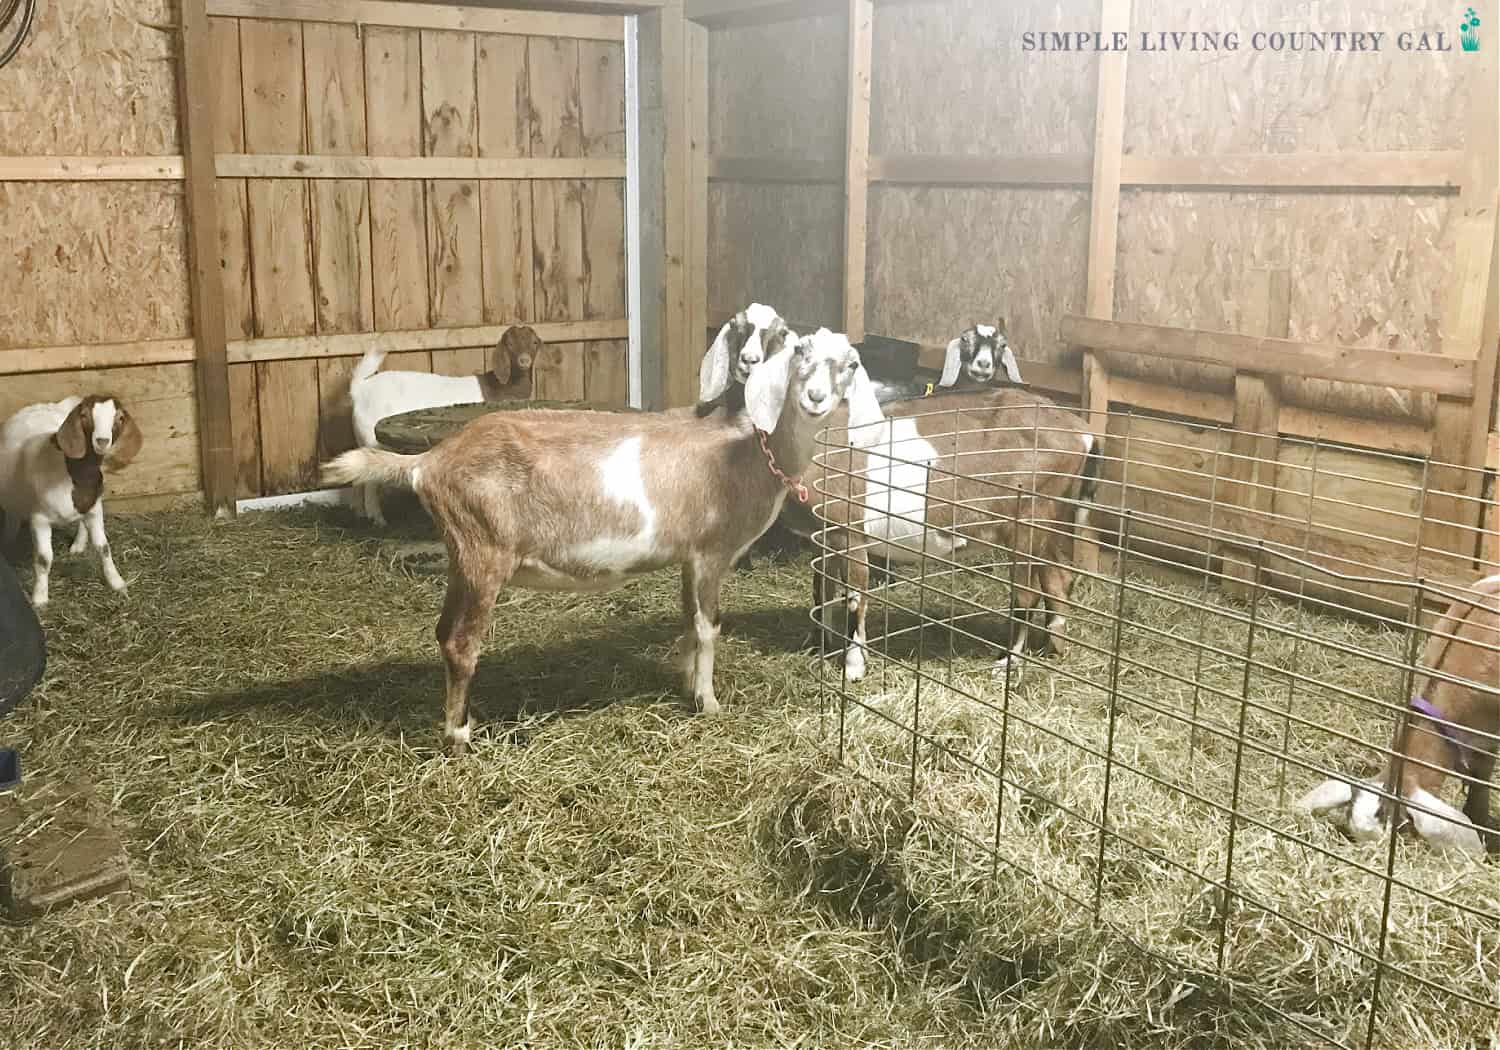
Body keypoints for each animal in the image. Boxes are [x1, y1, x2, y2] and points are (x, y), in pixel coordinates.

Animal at [0, 395, 143, 608]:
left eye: (120, 418)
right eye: (84, 415)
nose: (102, 441)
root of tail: (45, 405)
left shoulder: (94, 509)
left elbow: (103, 547)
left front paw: (117, 582)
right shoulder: (39, 519)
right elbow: (44, 559)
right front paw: (40, 598)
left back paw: (78, 545)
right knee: (12, 511)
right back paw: (9, 538)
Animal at [349, 325, 542, 525]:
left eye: (535, 342)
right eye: (509, 343)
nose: (524, 361)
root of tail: (359, 388)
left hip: (361, 436)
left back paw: (359, 511)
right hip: (371, 436)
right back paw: (377, 518)